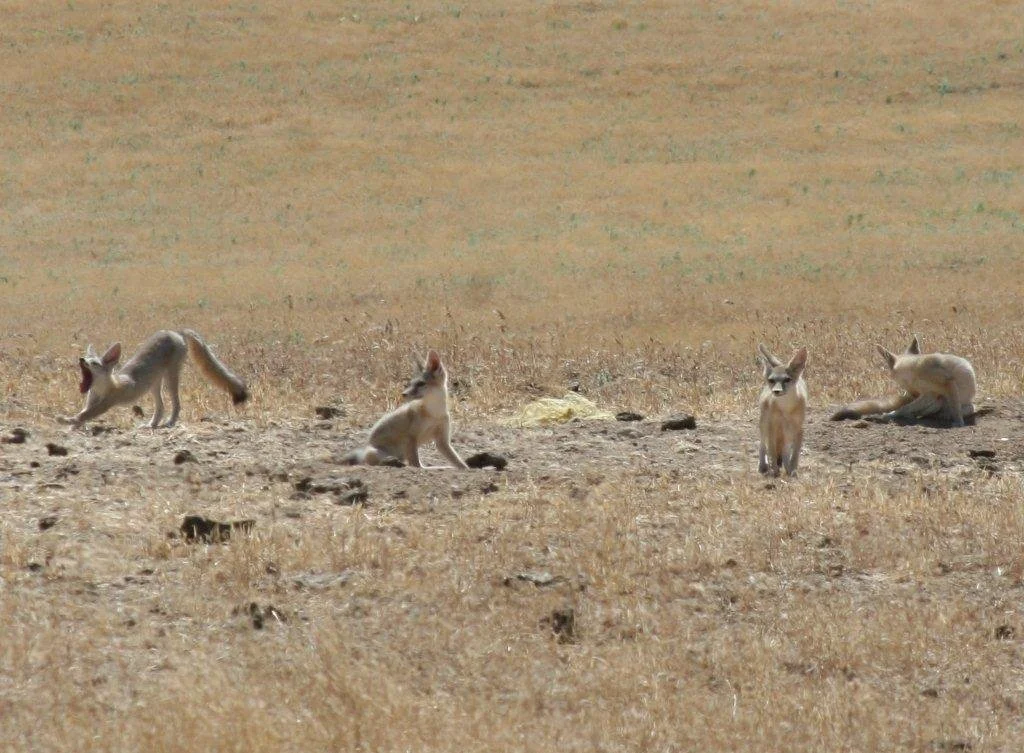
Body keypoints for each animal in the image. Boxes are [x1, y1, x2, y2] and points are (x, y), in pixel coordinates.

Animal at [59, 329, 248, 429]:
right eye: (85, 358)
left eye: (94, 363)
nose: (81, 360)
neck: (101, 389)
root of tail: (175, 331)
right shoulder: (91, 401)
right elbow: (84, 413)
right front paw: (73, 424)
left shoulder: (106, 404)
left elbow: (86, 414)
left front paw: (67, 420)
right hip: (154, 385)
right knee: (161, 407)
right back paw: (152, 424)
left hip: (170, 379)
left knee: (176, 405)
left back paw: (169, 423)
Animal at [757, 344, 808, 477]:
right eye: (772, 381)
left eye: (787, 380)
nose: (776, 391)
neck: (786, 408)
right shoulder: (772, 426)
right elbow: (772, 452)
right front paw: (775, 471)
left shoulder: (799, 428)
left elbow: (794, 454)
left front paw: (793, 470)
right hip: (764, 424)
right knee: (762, 445)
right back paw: (763, 465)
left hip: (787, 431)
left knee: (785, 451)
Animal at [830, 336, 976, 427]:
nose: (912, 393)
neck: (915, 370)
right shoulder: (928, 394)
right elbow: (905, 407)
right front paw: (892, 414)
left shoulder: (946, 383)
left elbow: (955, 407)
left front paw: (958, 422)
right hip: (935, 401)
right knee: (916, 411)